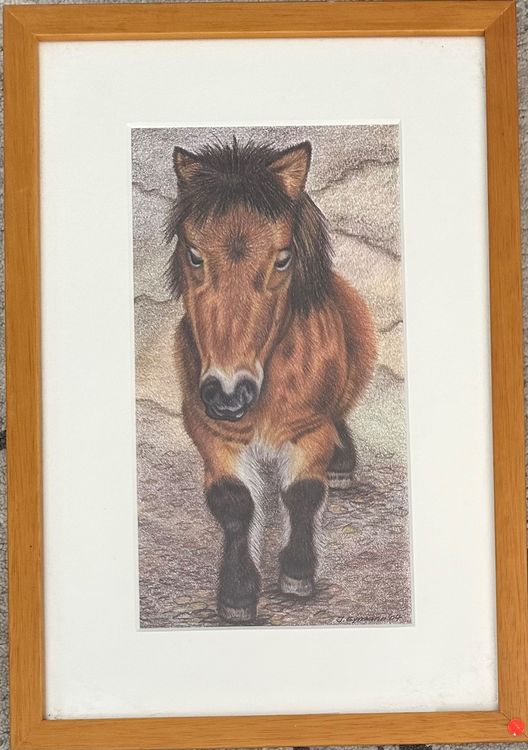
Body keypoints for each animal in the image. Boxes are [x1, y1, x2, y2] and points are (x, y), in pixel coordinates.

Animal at [166, 139, 377, 624]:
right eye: (194, 254)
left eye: (282, 258)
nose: (228, 393)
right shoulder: (210, 431)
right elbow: (234, 503)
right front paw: (238, 593)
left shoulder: (310, 429)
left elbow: (302, 494)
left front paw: (297, 573)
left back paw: (343, 465)